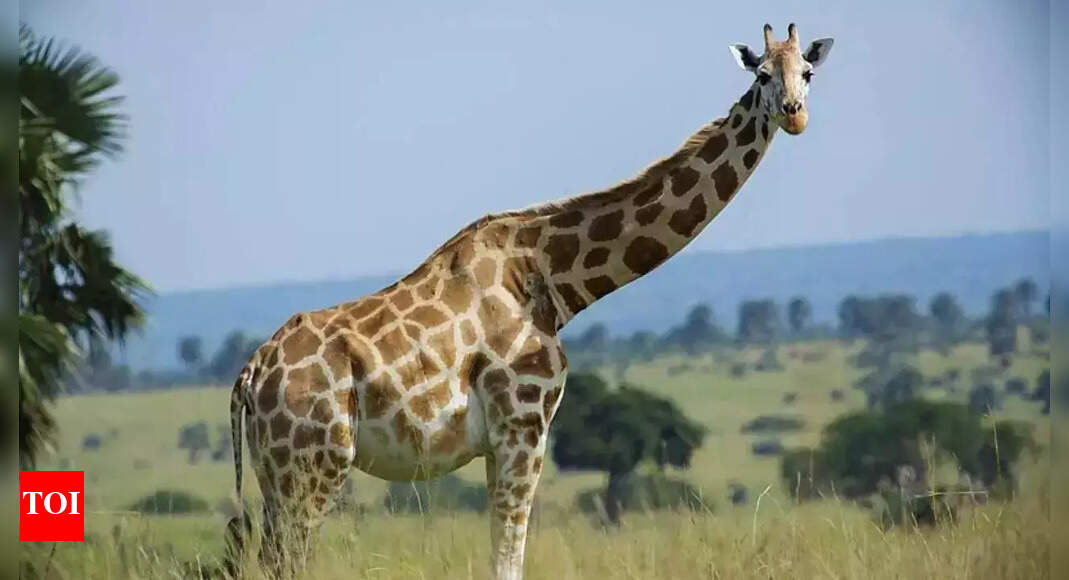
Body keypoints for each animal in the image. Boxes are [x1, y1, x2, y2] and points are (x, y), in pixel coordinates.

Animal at [225, 23, 833, 580]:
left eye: (807, 71)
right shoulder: (524, 422)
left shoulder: (504, 440)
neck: (553, 279)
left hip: (277, 474)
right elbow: (508, 557)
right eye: (761, 74)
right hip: (313, 465)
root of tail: (250, 376)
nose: (794, 114)